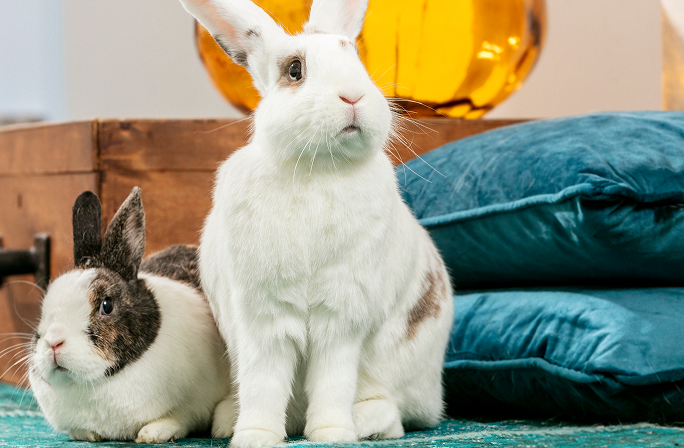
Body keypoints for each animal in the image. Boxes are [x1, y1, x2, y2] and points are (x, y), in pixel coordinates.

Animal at [28, 187, 237, 443]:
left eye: (106, 305)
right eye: (45, 305)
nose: (54, 343)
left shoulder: (193, 404)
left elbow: (178, 418)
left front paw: (153, 433)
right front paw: (87, 435)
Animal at [178, 0, 455, 446]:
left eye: (356, 59)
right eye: (295, 70)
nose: (353, 95)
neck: (318, 168)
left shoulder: (340, 315)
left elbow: (332, 379)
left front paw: (331, 433)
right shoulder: (263, 316)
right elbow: (263, 382)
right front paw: (255, 436)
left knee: (393, 414)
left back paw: (362, 422)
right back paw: (227, 420)